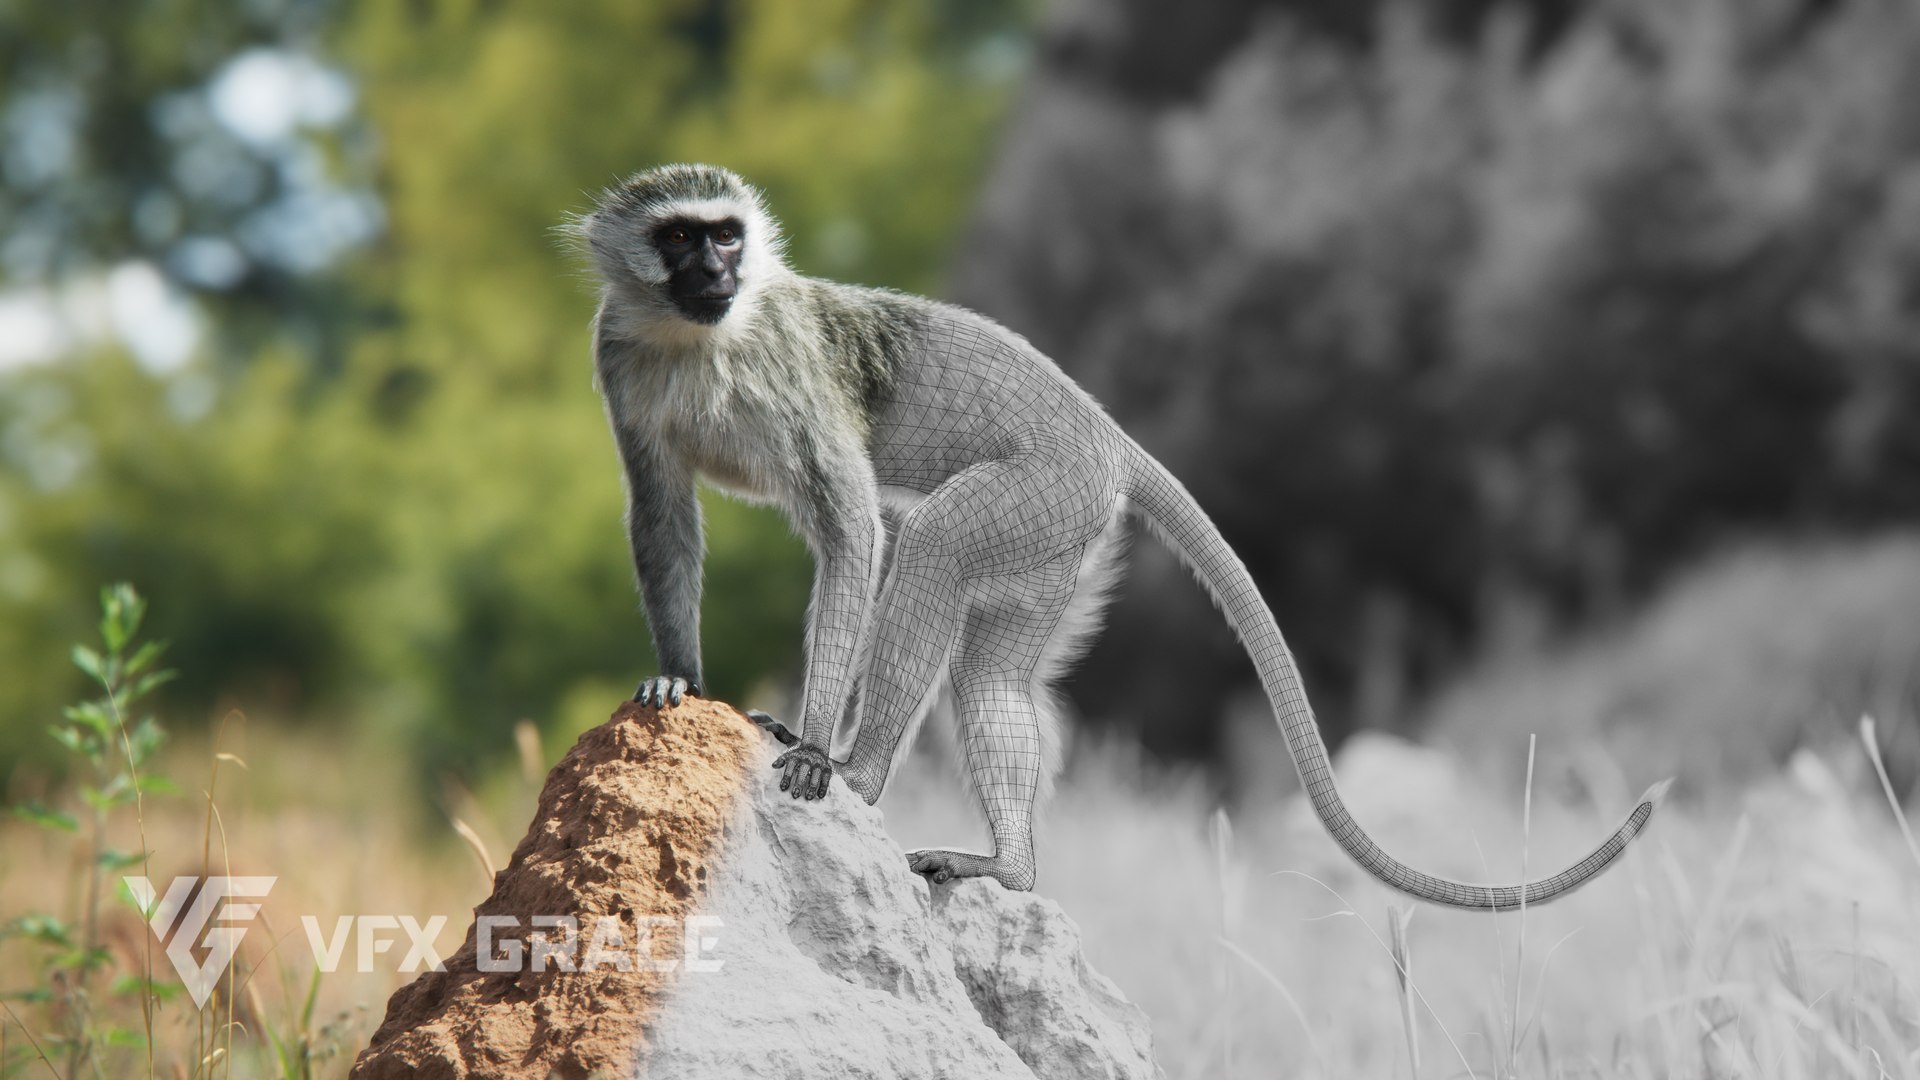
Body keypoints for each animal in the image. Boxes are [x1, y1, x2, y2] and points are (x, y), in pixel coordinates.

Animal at [574, 163, 1668, 904]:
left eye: (725, 236)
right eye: (683, 240)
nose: (719, 268)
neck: (699, 339)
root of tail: (1107, 434)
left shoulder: (787, 366)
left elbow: (850, 524)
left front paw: (811, 752)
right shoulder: (616, 354)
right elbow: (661, 513)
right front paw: (678, 679)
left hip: (1042, 493)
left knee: (931, 547)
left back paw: (869, 773)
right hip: (1063, 543)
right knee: (994, 677)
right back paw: (1011, 867)